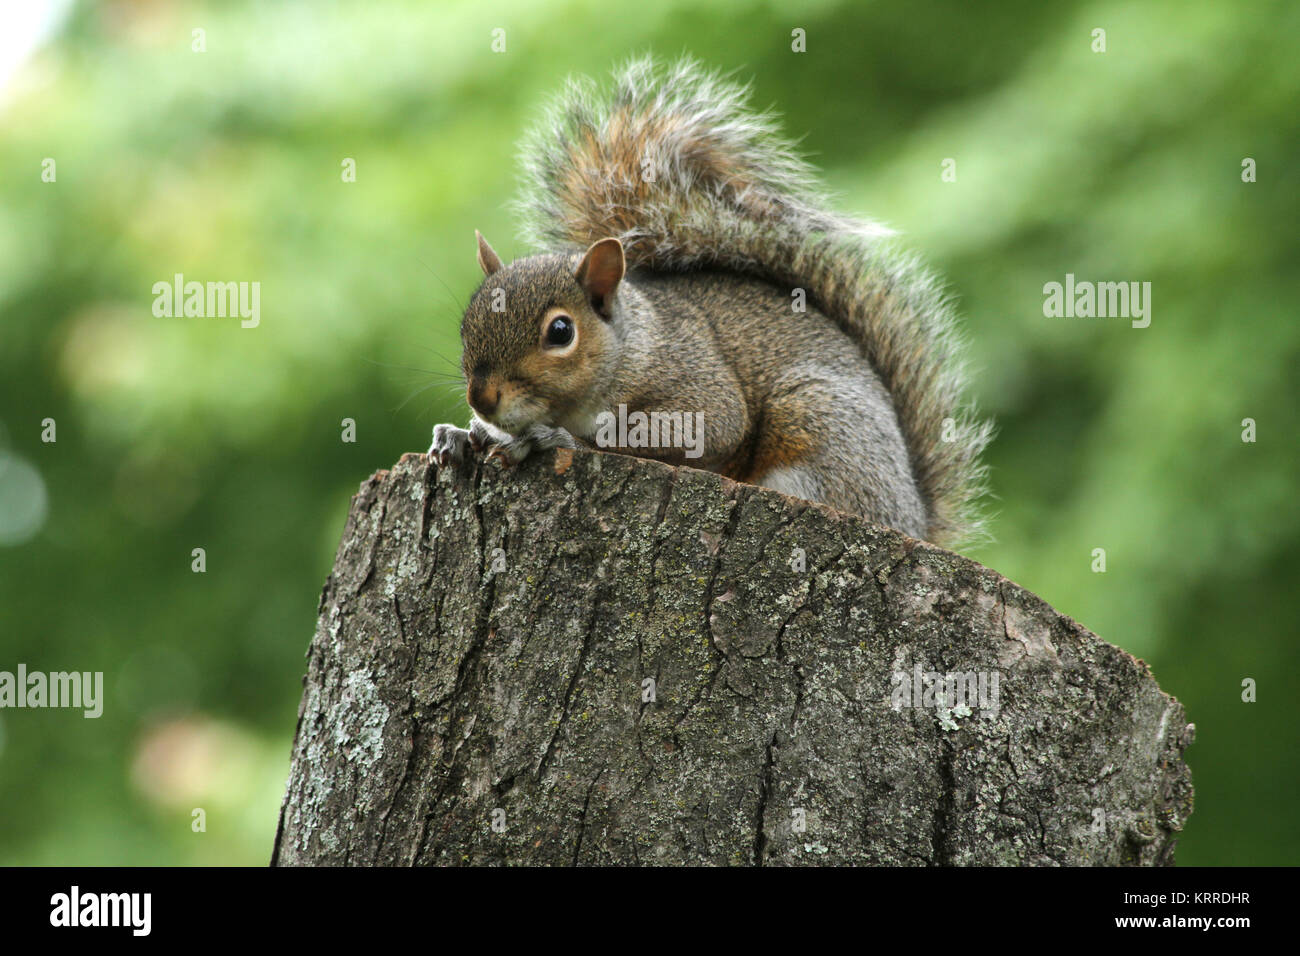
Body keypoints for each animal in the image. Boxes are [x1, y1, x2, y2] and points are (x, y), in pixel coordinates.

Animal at [430, 57, 992, 548]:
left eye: (561, 332)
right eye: (465, 326)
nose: (481, 398)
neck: (633, 347)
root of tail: (913, 518)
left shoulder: (698, 387)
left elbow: (690, 429)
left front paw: (556, 439)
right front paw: (459, 434)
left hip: (822, 426)